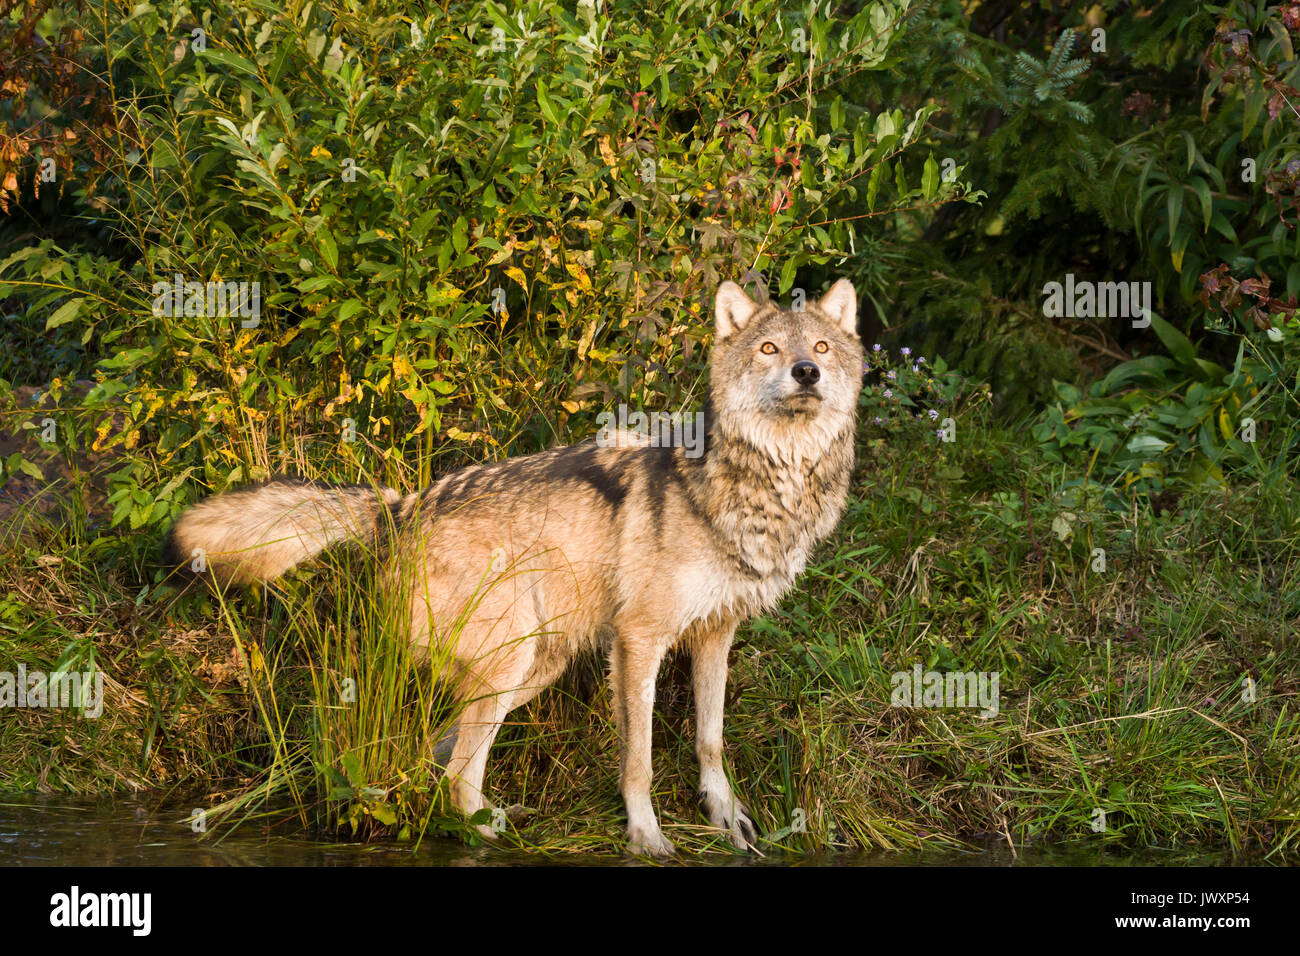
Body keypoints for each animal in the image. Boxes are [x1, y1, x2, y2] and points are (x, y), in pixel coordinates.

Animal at [165, 278, 863, 855]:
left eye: (822, 347)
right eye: (769, 349)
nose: (805, 372)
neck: (766, 487)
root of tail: (404, 506)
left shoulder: (716, 634)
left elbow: (710, 739)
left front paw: (728, 819)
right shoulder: (640, 640)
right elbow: (637, 759)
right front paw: (646, 838)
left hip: (531, 668)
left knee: (432, 753)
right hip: (513, 663)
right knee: (455, 776)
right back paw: (497, 836)